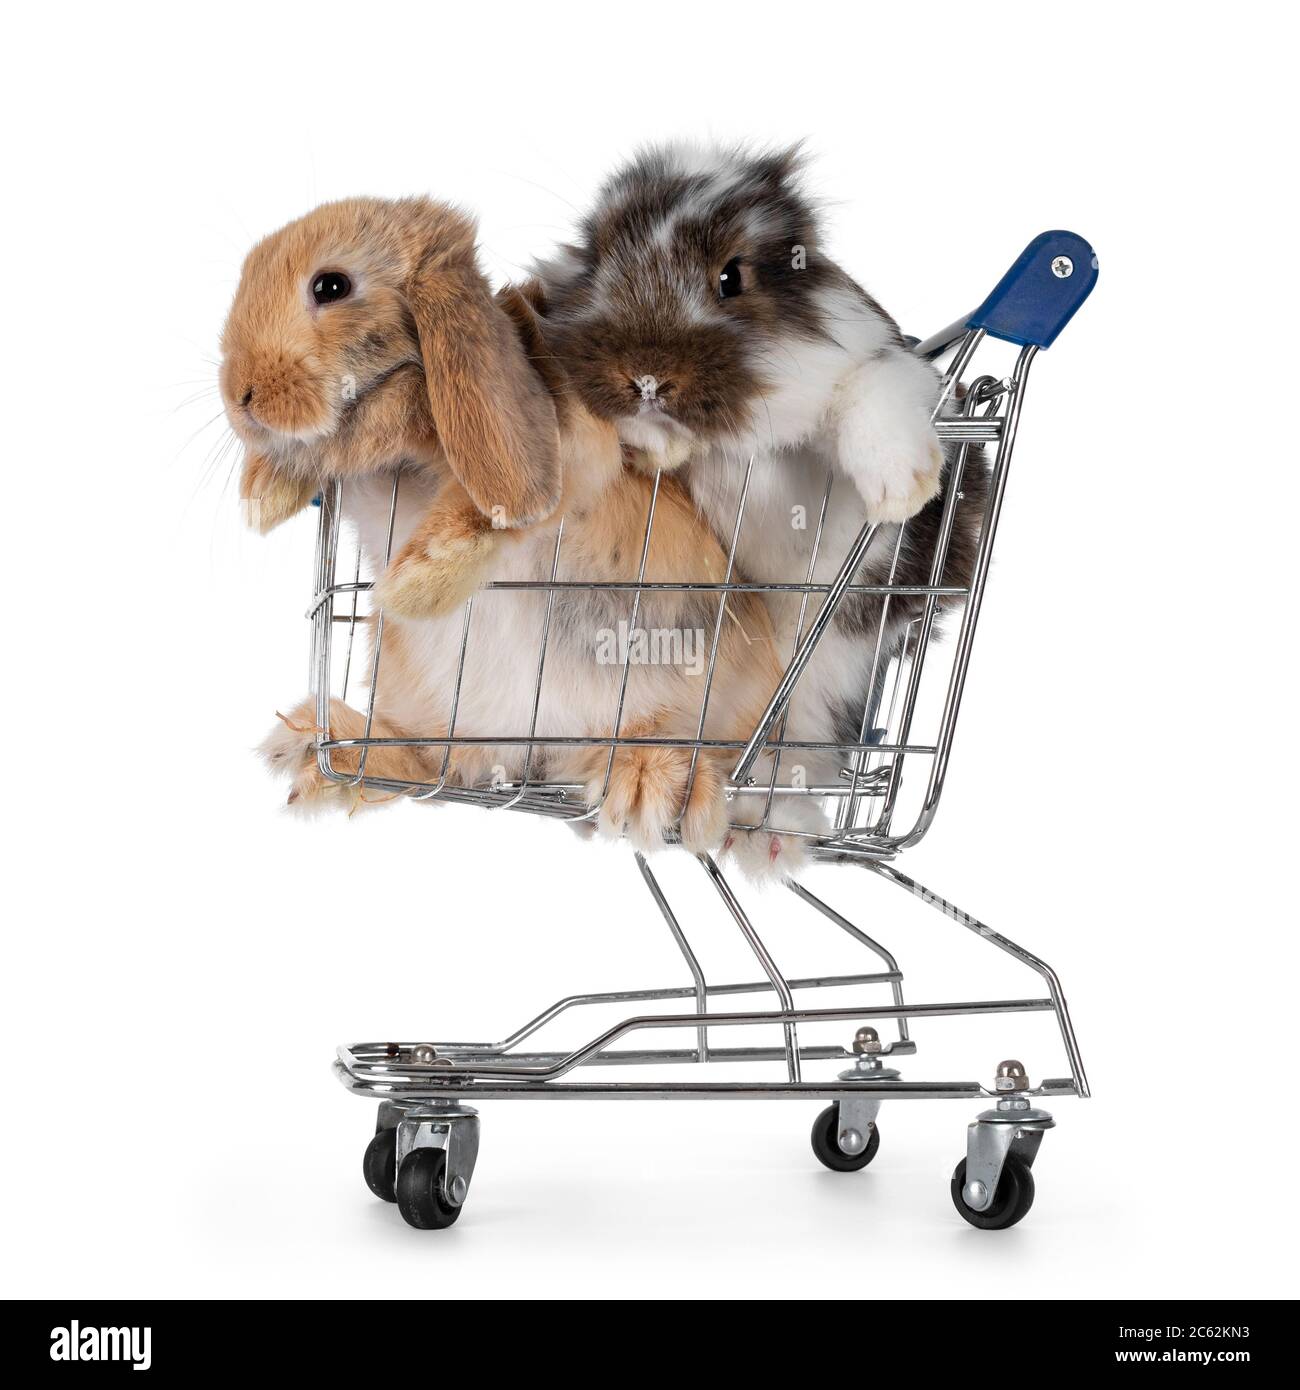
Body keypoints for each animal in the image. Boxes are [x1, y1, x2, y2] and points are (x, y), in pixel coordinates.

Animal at [219, 195, 785, 854]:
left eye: (330, 286)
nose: (239, 398)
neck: (412, 455)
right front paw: (265, 491)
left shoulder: (573, 453)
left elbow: (486, 504)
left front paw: (416, 580)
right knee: (433, 767)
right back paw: (322, 747)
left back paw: (653, 786)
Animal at [532, 142, 989, 876]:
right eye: (597, 262)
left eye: (732, 277)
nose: (646, 378)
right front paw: (656, 439)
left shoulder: (886, 370)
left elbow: (876, 388)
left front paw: (902, 484)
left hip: (832, 660)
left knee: (801, 757)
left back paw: (769, 833)